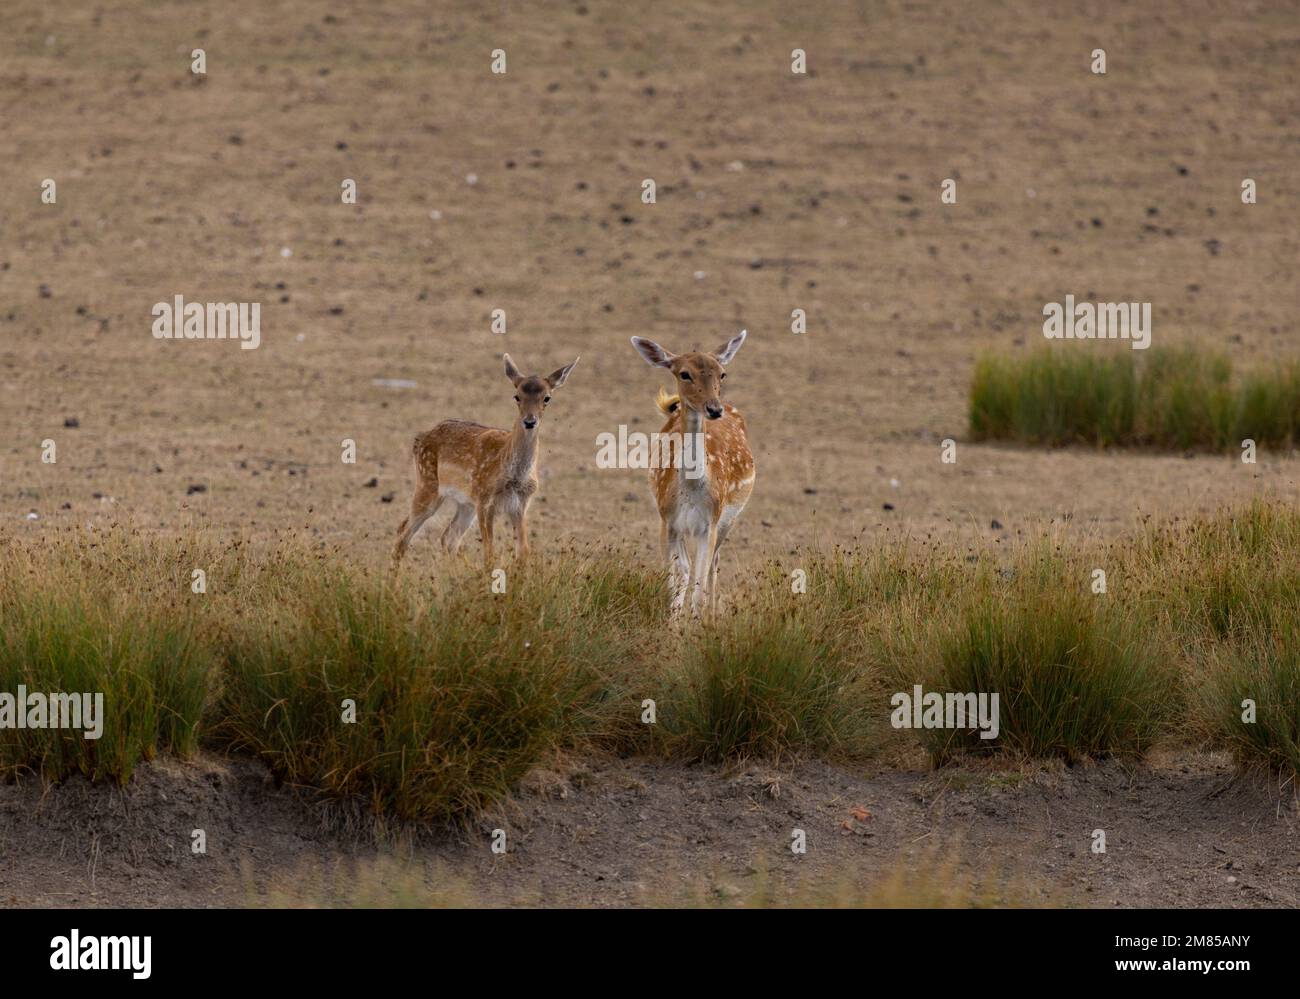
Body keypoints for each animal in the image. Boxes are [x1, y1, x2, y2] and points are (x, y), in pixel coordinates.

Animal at [391, 353, 579, 569]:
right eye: (517, 396)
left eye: (547, 397)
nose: (529, 421)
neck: (514, 475)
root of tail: (419, 439)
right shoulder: (485, 499)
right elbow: (489, 554)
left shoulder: (521, 503)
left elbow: (523, 552)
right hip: (427, 484)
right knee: (403, 532)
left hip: (465, 502)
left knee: (448, 536)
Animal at [630, 329, 754, 617]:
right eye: (684, 373)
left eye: (722, 373)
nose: (714, 409)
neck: (691, 492)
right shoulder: (667, 520)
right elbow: (674, 577)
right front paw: (672, 624)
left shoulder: (710, 523)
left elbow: (699, 583)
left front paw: (697, 622)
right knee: (687, 569)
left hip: (729, 519)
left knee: (712, 565)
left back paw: (711, 614)